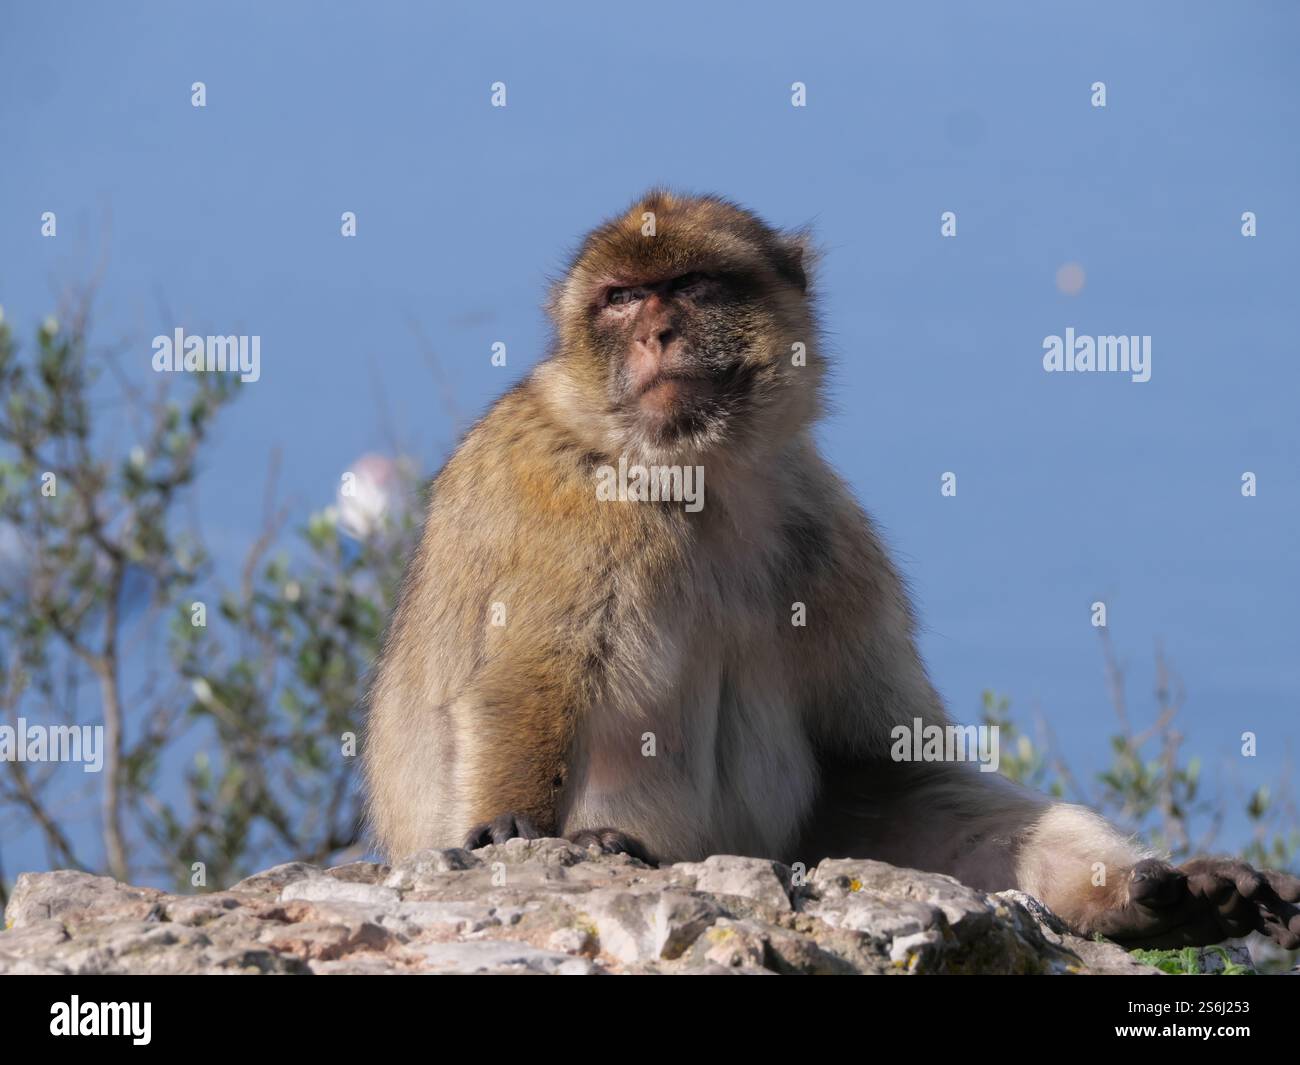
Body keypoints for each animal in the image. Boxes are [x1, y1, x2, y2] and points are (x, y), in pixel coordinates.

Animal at [363, 189, 1300, 951]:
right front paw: (513, 830)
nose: (656, 332)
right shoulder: (576, 516)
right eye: (620, 298)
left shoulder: (830, 534)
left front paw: (1139, 892)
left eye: (692, 286)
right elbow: (526, 684)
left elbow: (877, 769)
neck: (699, 479)